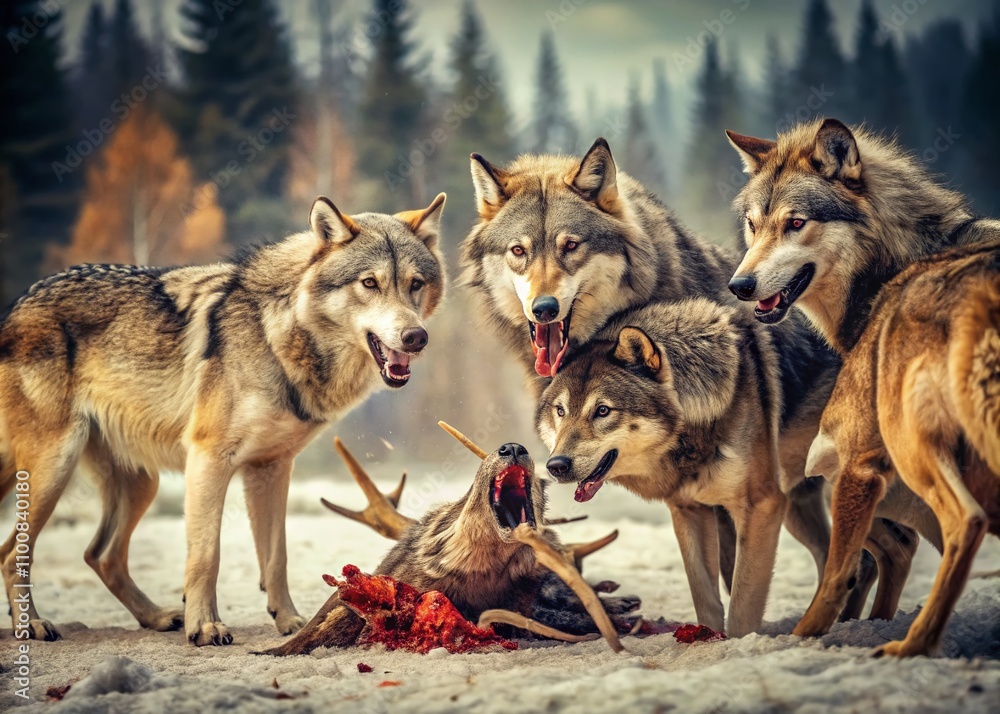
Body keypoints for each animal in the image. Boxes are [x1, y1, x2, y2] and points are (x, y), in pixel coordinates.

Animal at [0, 193, 447, 645]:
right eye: (369, 283)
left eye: (415, 284)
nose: (416, 337)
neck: (275, 334)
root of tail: (16, 306)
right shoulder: (208, 459)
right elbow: (205, 555)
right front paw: (205, 626)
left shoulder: (271, 467)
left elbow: (277, 556)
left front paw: (290, 622)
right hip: (54, 469)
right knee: (12, 554)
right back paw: (32, 625)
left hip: (141, 483)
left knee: (100, 555)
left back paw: (157, 617)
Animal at [536, 298, 838, 637]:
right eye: (561, 411)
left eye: (602, 410)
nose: (556, 465)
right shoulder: (689, 510)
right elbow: (706, 599)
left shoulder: (763, 505)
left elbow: (743, 606)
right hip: (798, 512)